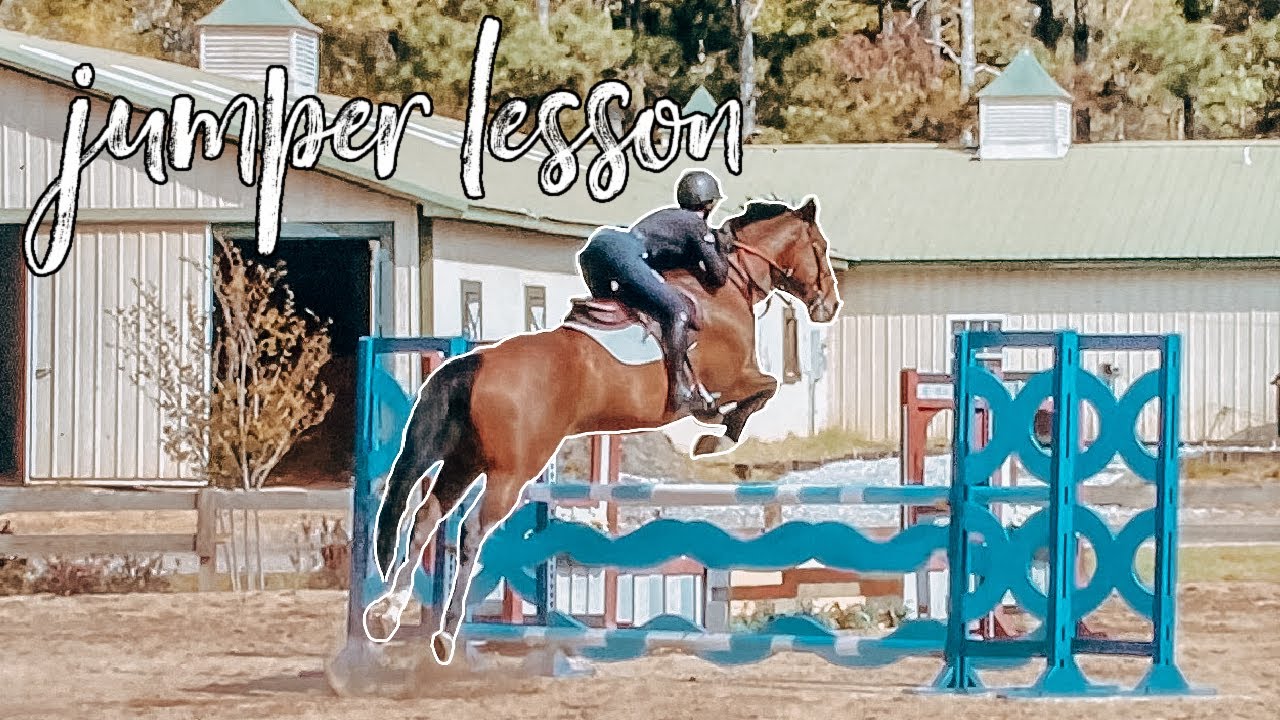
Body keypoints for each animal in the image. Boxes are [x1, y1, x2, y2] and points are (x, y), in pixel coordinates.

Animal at [363, 195, 843, 665]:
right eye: (820, 248)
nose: (831, 305)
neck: (724, 289)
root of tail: (475, 361)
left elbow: (762, 390)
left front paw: (715, 429)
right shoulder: (734, 376)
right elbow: (764, 389)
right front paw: (715, 434)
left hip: (464, 460)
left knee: (426, 516)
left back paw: (386, 614)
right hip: (510, 472)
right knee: (471, 531)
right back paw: (445, 633)